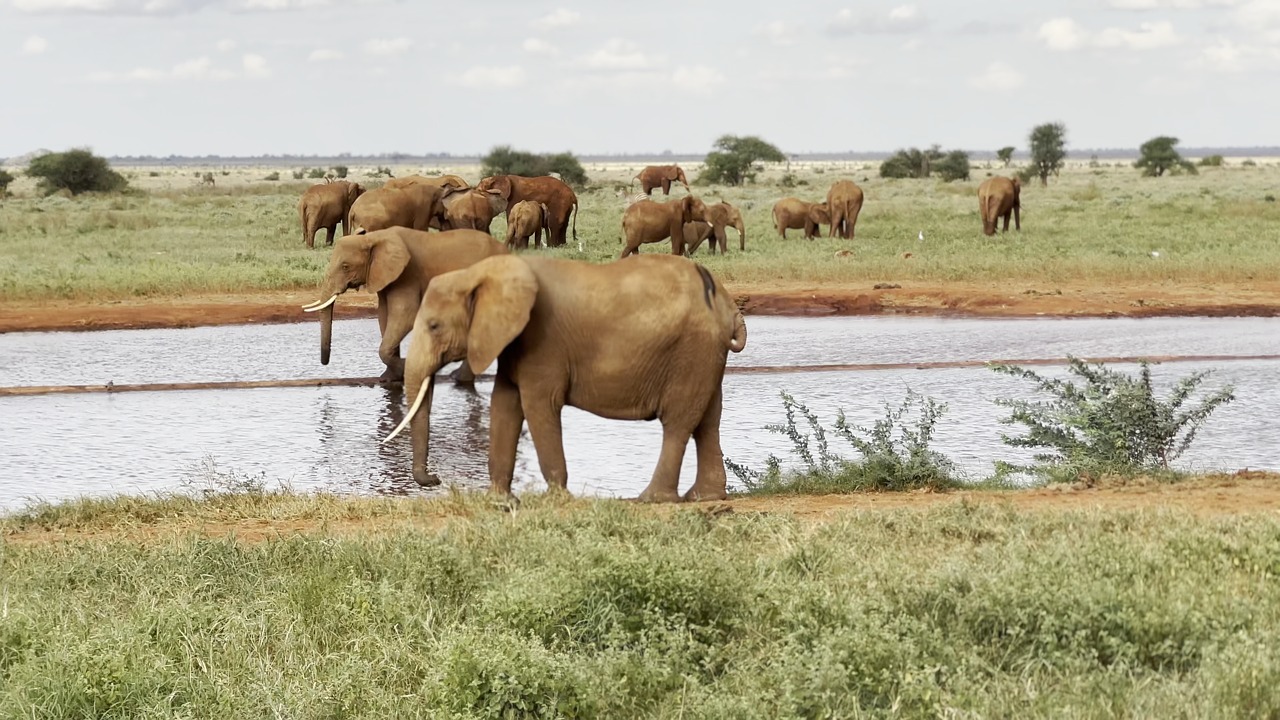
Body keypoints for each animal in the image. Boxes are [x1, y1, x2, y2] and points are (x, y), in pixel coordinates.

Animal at [301, 227, 509, 382]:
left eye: (345, 266)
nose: (325, 363)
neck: (373, 238)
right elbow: (384, 315)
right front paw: (389, 377)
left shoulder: (407, 274)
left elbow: (404, 315)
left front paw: (407, 368)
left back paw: (459, 378)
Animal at [383, 253, 748, 501]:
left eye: (434, 326)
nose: (435, 480)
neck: (480, 272)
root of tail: (727, 306)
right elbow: (505, 403)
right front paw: (499, 501)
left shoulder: (543, 341)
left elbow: (538, 404)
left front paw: (555, 499)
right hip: (704, 354)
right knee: (707, 420)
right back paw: (703, 497)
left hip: (691, 350)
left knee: (678, 422)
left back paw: (651, 499)